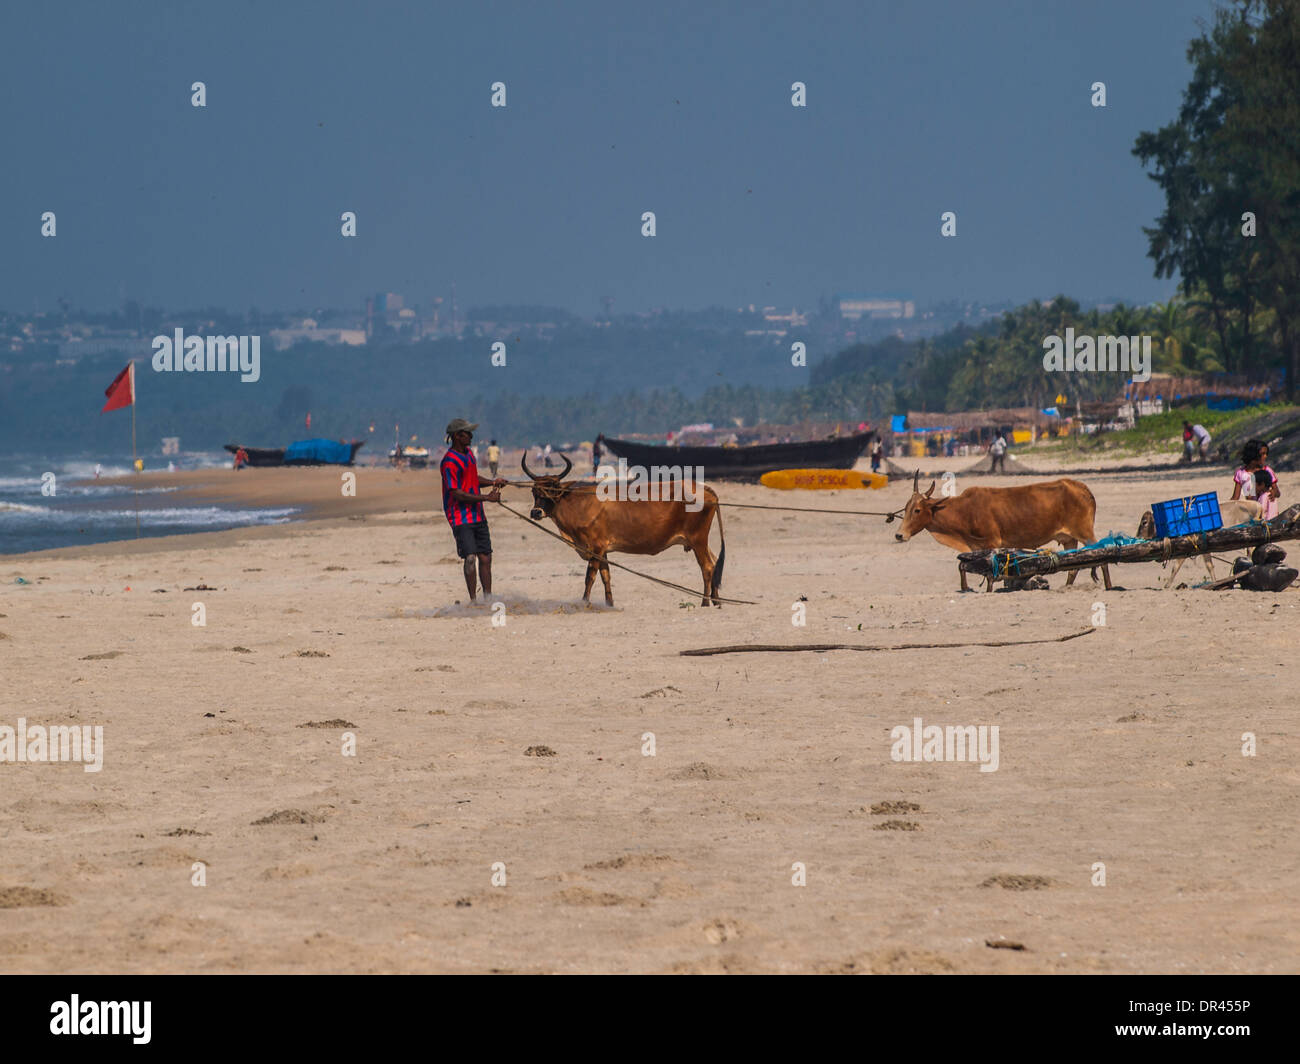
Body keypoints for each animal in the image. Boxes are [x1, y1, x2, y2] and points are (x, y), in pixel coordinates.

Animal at [521, 452, 726, 607]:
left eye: (553, 490)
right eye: (534, 491)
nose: (536, 511)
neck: (579, 502)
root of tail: (704, 488)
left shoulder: (595, 547)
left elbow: (590, 576)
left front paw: (584, 601)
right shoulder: (602, 549)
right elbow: (605, 576)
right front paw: (609, 603)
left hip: (698, 539)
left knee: (707, 567)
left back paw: (705, 602)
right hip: (699, 540)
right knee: (714, 562)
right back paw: (716, 601)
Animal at [894, 472, 1110, 591]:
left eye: (917, 510)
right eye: (905, 508)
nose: (899, 535)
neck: (964, 509)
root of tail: (1082, 488)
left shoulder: (991, 543)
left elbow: (991, 573)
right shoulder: (975, 547)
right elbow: (962, 566)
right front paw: (966, 588)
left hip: (1085, 533)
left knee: (1101, 554)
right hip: (1068, 539)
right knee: (1073, 566)